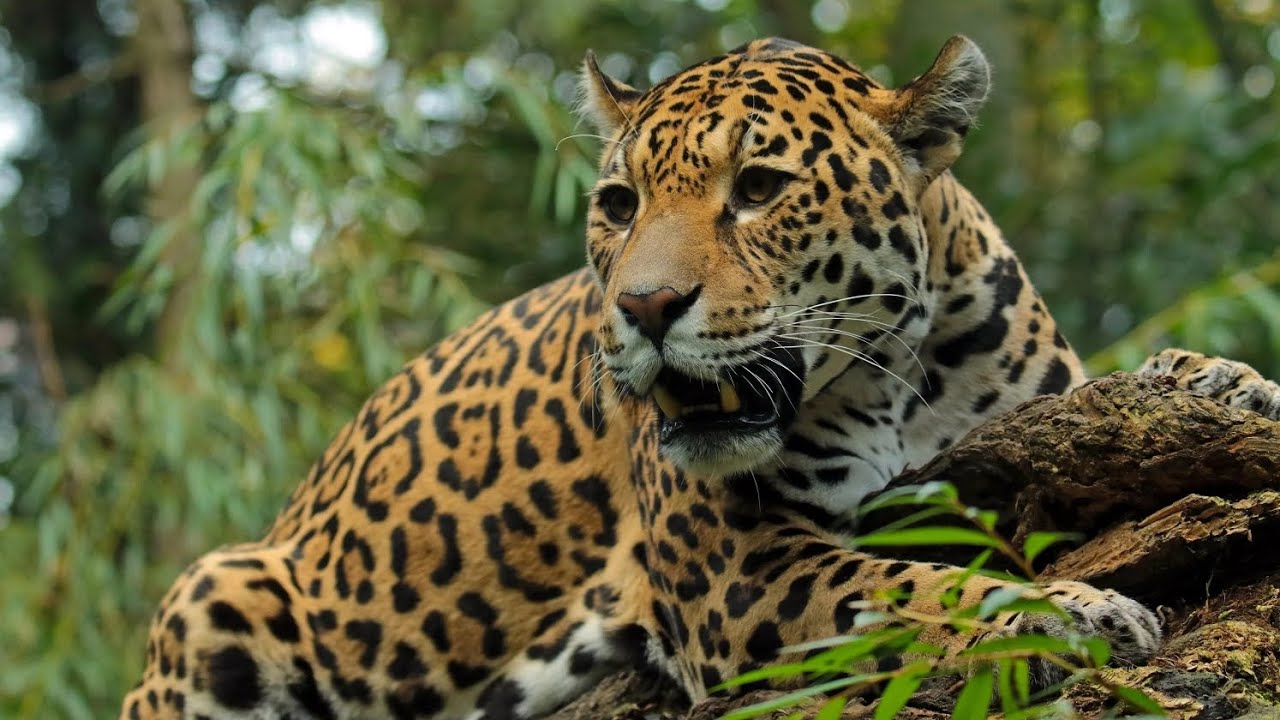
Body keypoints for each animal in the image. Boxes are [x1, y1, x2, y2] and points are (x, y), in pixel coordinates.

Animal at [120, 36, 1280, 719]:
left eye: (759, 189)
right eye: (617, 204)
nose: (642, 308)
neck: (901, 373)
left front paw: (1227, 384)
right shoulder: (732, 568)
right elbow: (901, 585)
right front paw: (1066, 612)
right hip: (214, 596)